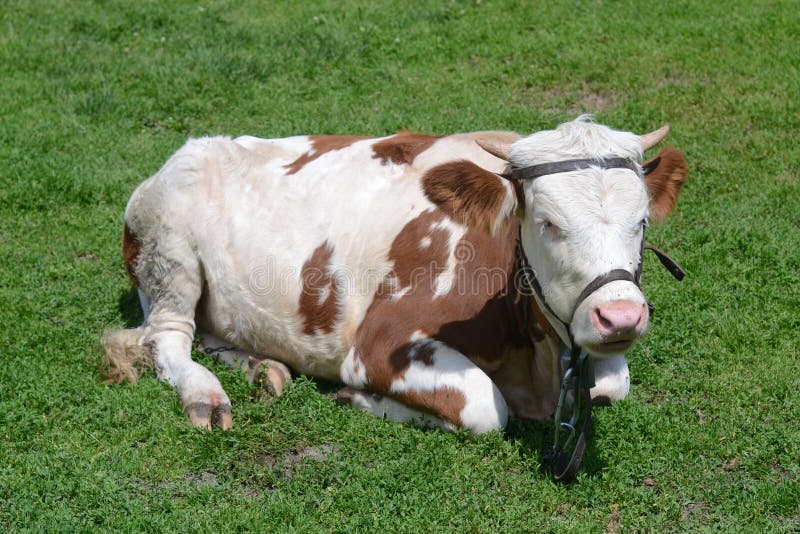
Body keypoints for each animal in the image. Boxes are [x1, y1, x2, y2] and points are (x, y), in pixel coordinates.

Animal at [101, 117, 688, 435]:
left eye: (641, 221)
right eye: (547, 222)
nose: (620, 316)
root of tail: (194, 146)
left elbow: (613, 384)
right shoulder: (380, 342)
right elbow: (485, 406)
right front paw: (361, 399)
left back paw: (262, 369)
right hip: (169, 253)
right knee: (168, 339)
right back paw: (205, 395)